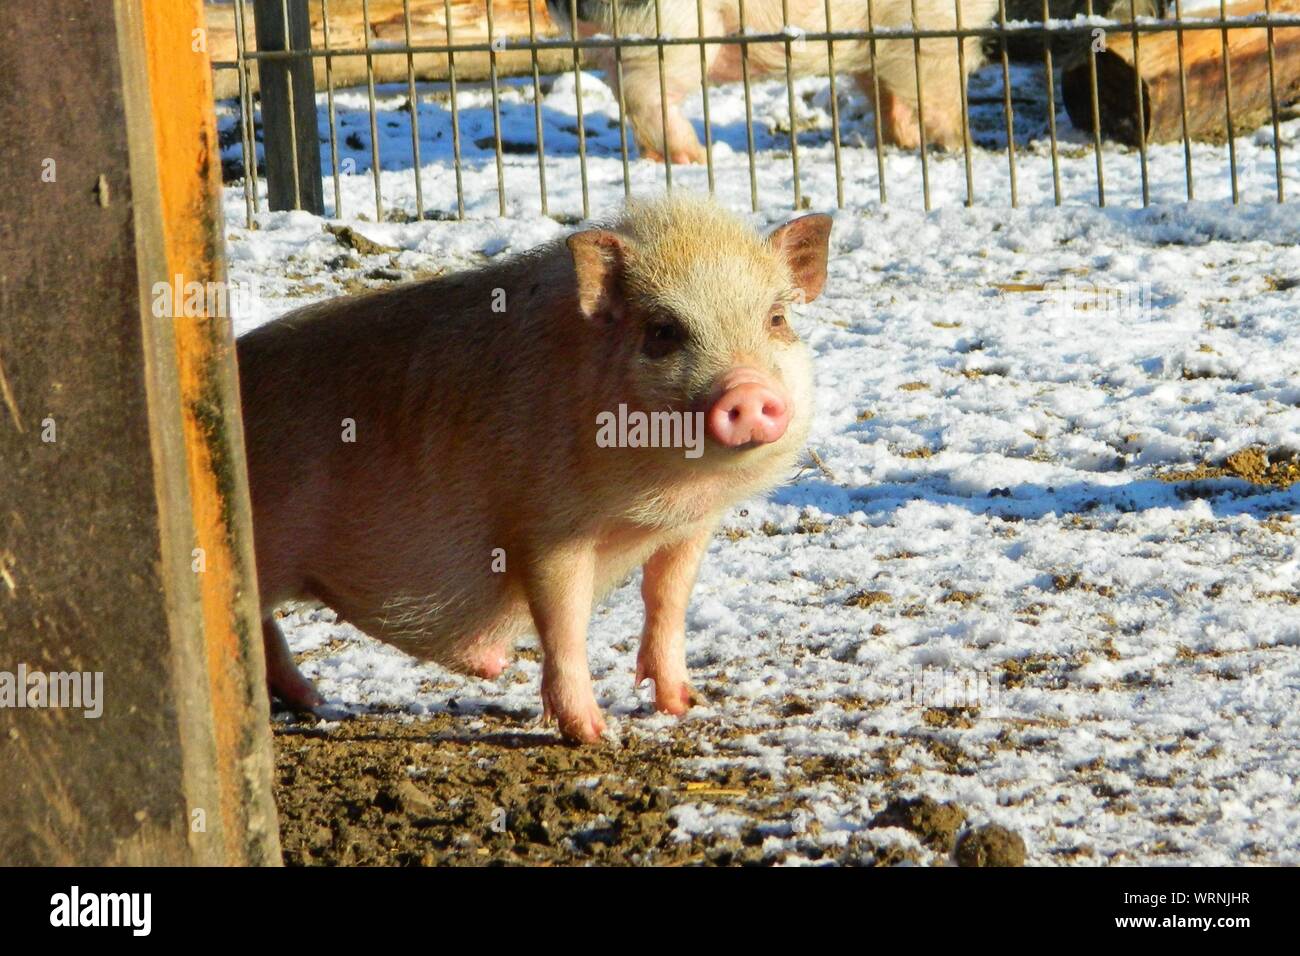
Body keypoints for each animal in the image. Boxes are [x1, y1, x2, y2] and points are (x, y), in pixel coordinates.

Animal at [237, 195, 829, 742]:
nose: (746, 390)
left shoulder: (689, 529)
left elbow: (667, 601)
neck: (663, 493)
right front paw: (593, 735)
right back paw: (313, 703)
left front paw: (684, 705)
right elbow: (563, 619)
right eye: (664, 331)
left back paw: (316, 702)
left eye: (776, 319)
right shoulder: (546, 527)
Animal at [545, 0, 998, 161]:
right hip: (671, 33)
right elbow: (940, 92)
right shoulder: (933, 30)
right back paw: (699, 155)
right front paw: (963, 145)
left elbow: (883, 93)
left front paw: (902, 142)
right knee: (645, 97)